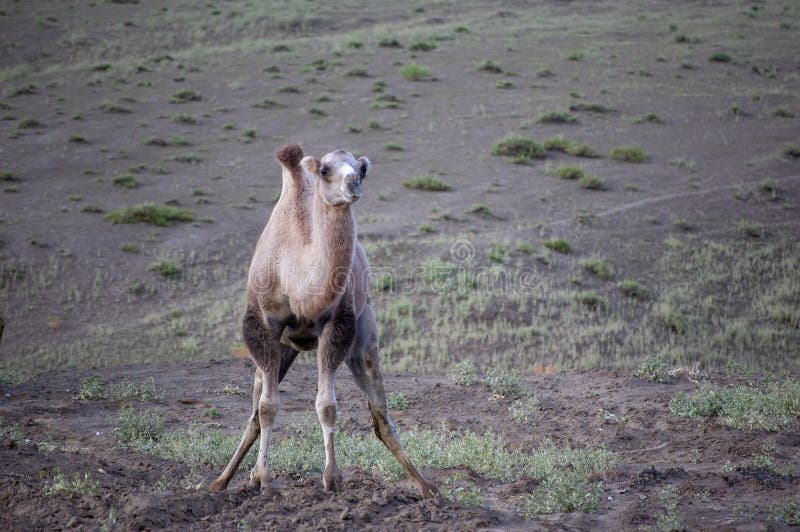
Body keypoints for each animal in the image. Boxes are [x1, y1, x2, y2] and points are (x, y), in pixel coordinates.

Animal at [209, 144, 439, 502]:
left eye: (362, 169)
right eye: (325, 170)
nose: (353, 183)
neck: (297, 275)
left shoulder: (338, 326)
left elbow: (327, 405)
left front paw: (332, 478)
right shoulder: (263, 326)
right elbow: (267, 407)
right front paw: (263, 479)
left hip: (364, 337)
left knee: (380, 413)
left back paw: (426, 487)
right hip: (283, 349)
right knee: (255, 412)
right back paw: (222, 480)